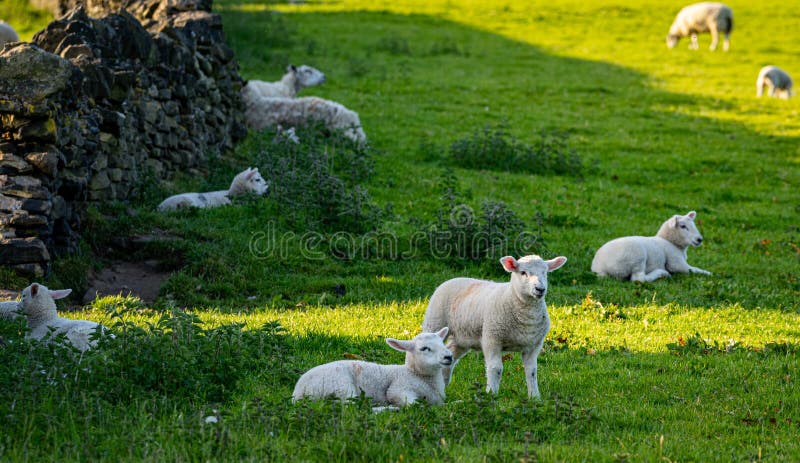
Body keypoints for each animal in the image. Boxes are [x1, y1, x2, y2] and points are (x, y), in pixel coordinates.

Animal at [292, 327, 453, 410]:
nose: (449, 356)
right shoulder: (399, 388)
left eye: (442, 343)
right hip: (341, 384)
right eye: (424, 348)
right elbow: (414, 404)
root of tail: (297, 393)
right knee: (352, 407)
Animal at [421, 255, 568, 399]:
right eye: (523, 272)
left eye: (545, 272)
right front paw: (491, 394)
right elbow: (496, 368)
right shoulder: (492, 338)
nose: (540, 289)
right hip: (435, 321)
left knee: (450, 354)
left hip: (462, 337)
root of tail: (454, 278)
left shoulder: (534, 345)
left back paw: (444, 385)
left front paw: (535, 397)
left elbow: (531, 371)